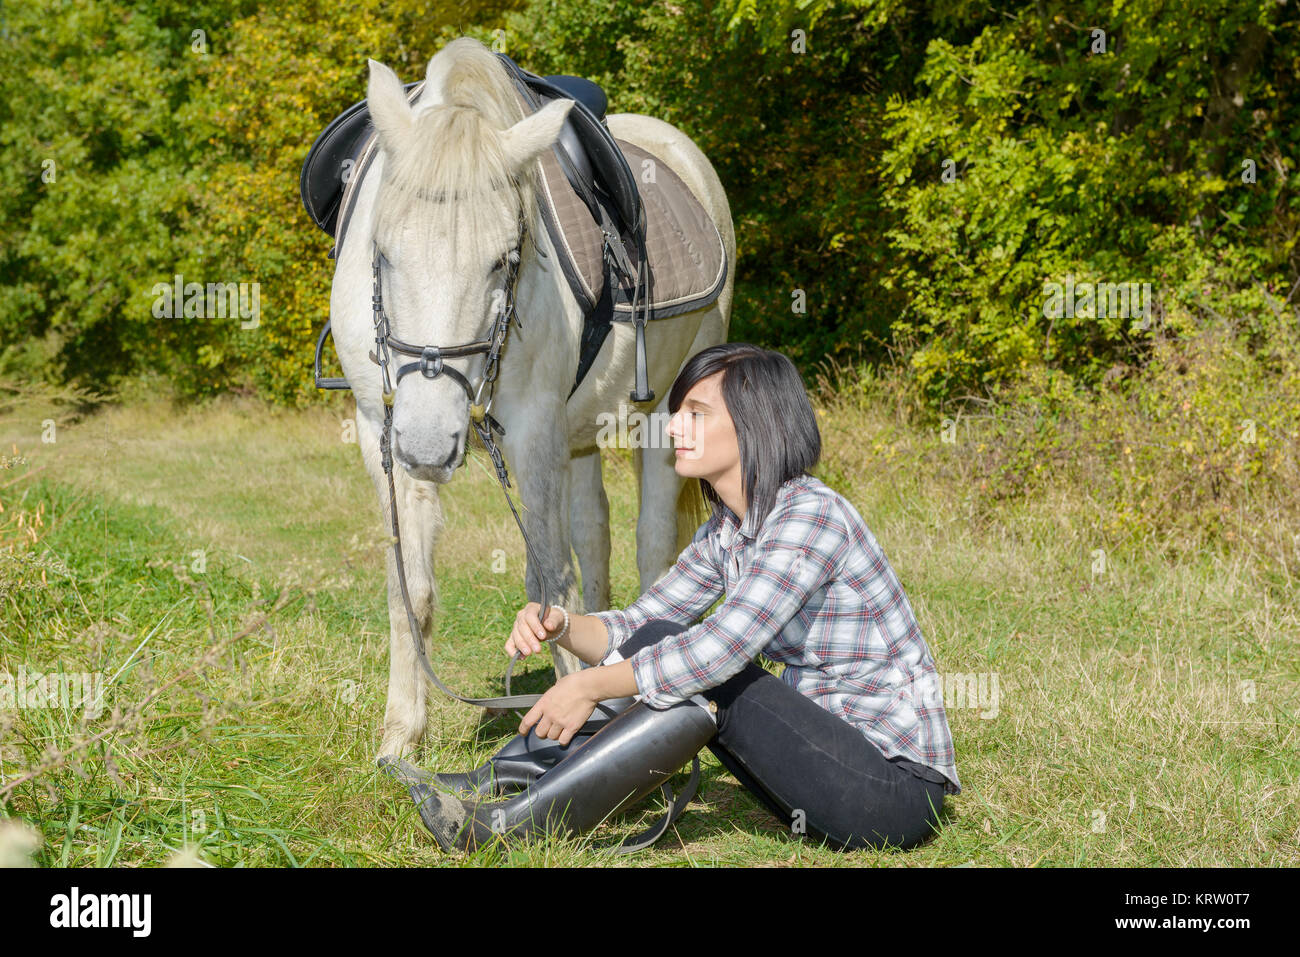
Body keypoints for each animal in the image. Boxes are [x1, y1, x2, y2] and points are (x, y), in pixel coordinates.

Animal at [327, 37, 735, 762]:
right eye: (384, 252)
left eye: (503, 259)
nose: (429, 445)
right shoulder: (384, 431)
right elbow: (411, 588)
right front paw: (402, 735)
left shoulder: (533, 431)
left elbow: (548, 586)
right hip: (577, 441)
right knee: (596, 538)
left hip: (664, 418)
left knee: (651, 548)